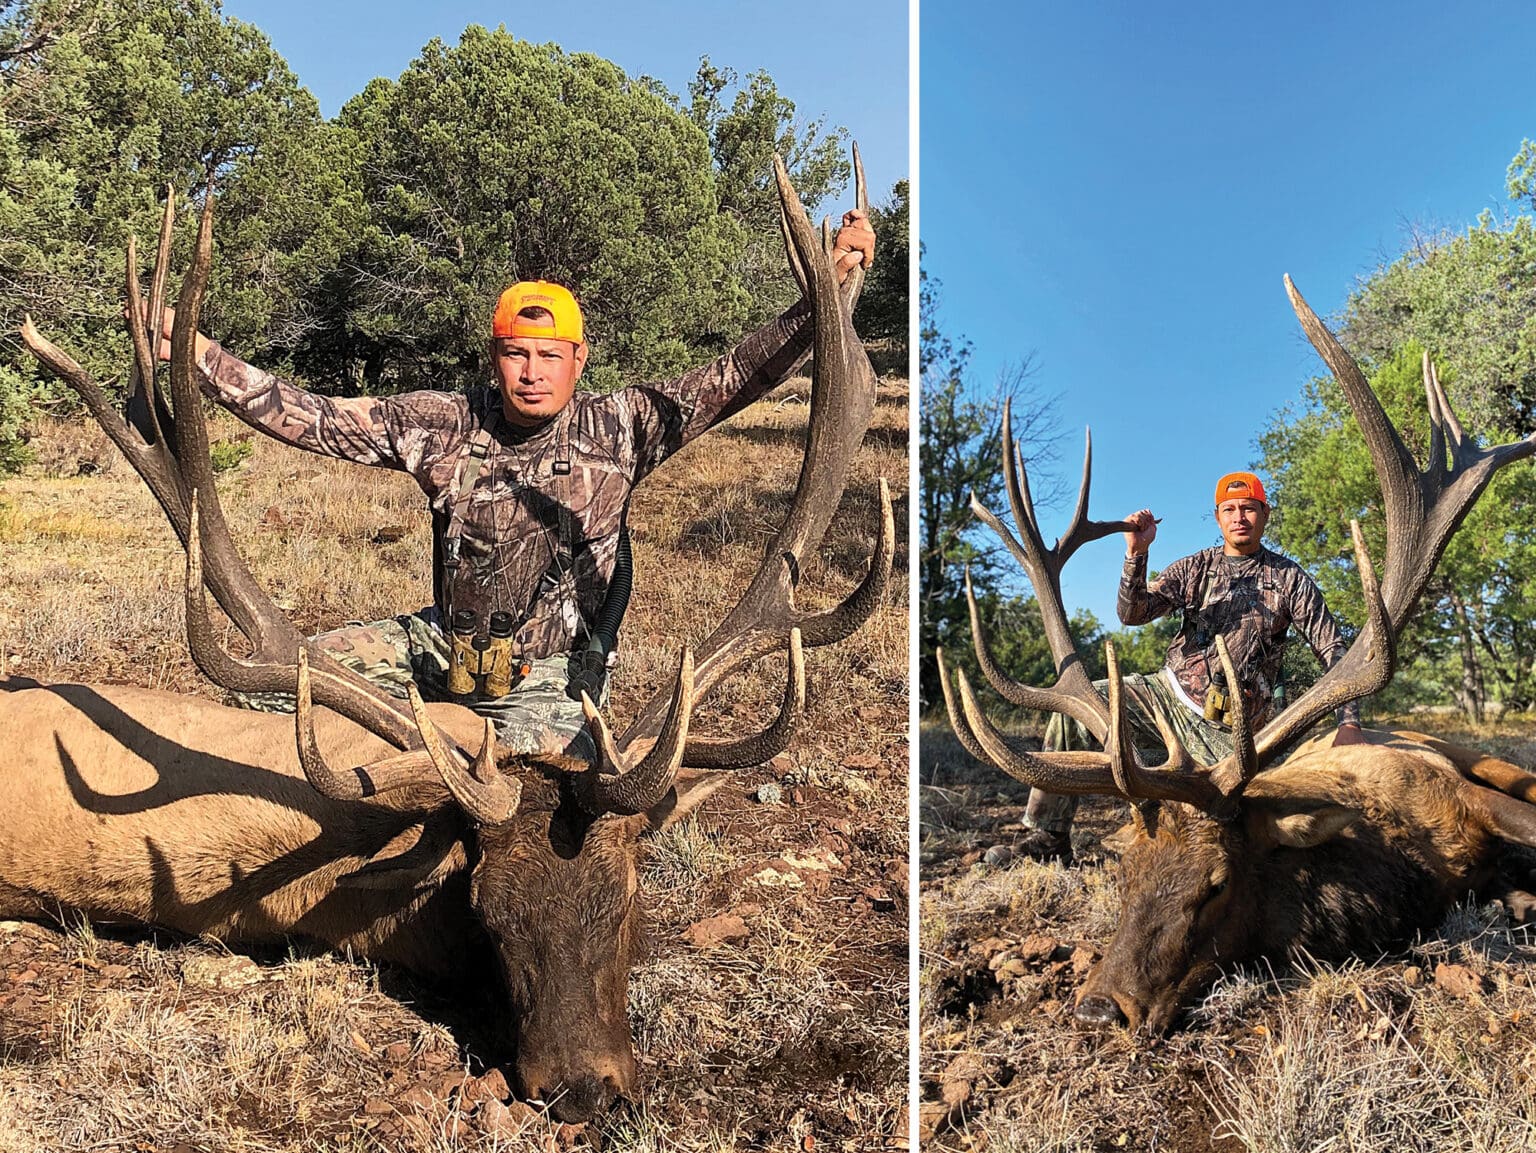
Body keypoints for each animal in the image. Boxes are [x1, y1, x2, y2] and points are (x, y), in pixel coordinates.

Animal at [939, 275, 1536, 1036]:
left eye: (1216, 883)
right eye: (1126, 872)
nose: (1101, 1007)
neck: (1412, 870)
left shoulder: (1458, 792)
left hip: (1476, 754)